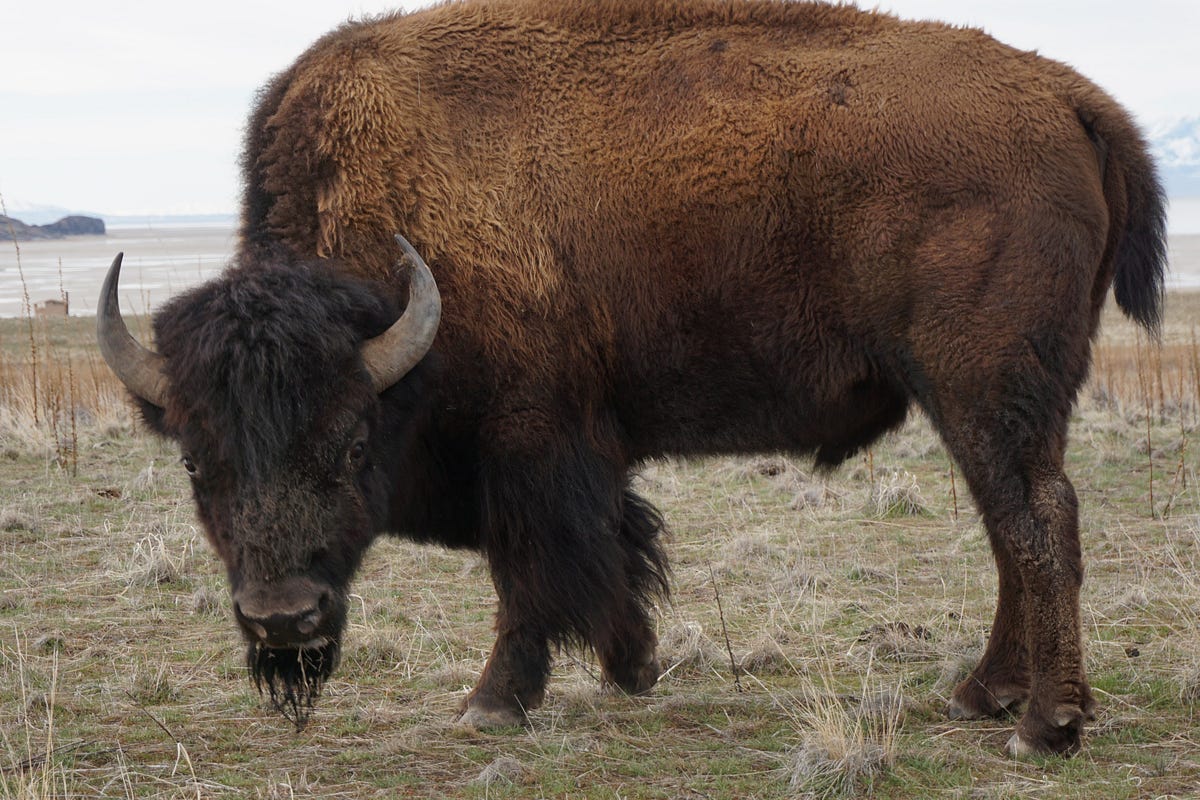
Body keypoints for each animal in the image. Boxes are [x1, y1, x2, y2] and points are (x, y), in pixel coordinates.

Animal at [98, 0, 1166, 757]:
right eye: (193, 462)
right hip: (995, 399)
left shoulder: (530, 444)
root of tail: (1070, 95)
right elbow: (617, 550)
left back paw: (1043, 726)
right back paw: (986, 695)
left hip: (980, 385)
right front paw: (633, 668)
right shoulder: (587, 447)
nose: (283, 620)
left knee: (1037, 520)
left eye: (352, 442)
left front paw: (492, 704)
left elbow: (534, 573)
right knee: (1014, 524)